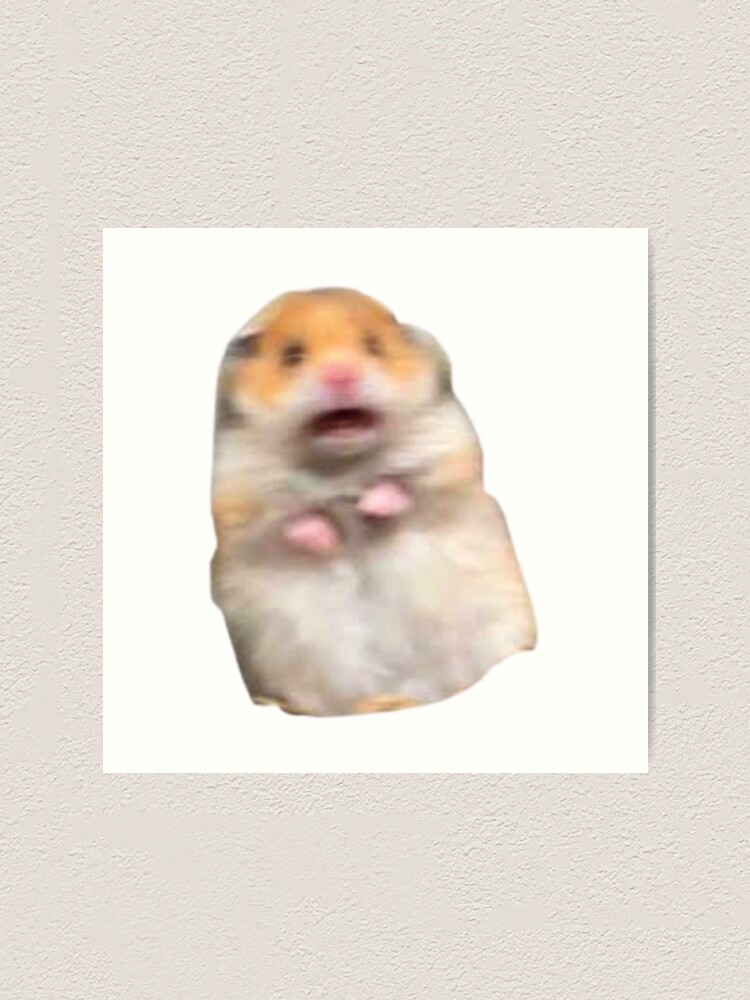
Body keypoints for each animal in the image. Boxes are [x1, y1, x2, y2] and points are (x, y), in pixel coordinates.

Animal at [211, 288, 536, 716]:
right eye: (292, 356)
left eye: (374, 347)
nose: (341, 375)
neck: (342, 463)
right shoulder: (238, 497)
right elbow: (292, 520)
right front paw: (330, 539)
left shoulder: (451, 453)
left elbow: (405, 488)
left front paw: (368, 508)